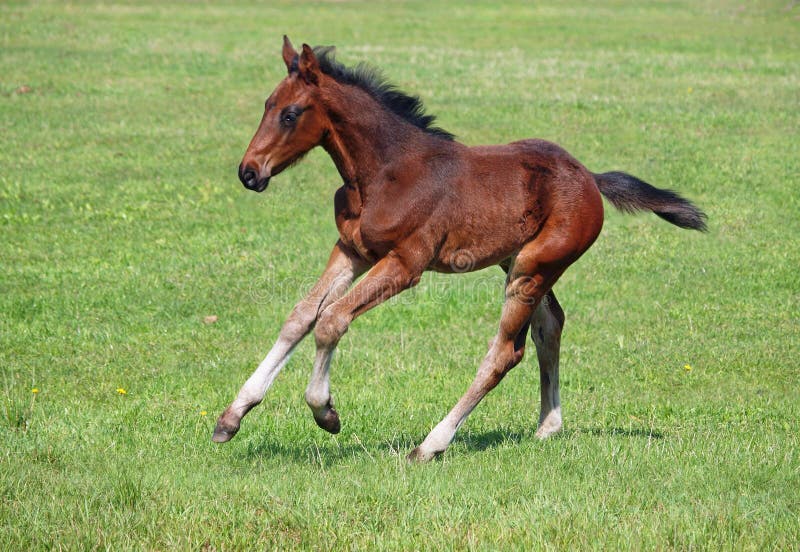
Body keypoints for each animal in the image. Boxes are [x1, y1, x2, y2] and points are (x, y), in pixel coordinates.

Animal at [213, 36, 707, 462]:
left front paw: (325, 412)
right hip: (520, 261)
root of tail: (590, 177)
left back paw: (431, 445)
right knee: (550, 326)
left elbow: (331, 320)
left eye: (291, 114)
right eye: (267, 105)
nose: (249, 172)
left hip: (533, 267)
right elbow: (300, 317)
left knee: (505, 353)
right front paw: (232, 417)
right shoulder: (351, 250)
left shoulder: (406, 264)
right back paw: (548, 426)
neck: (383, 173)